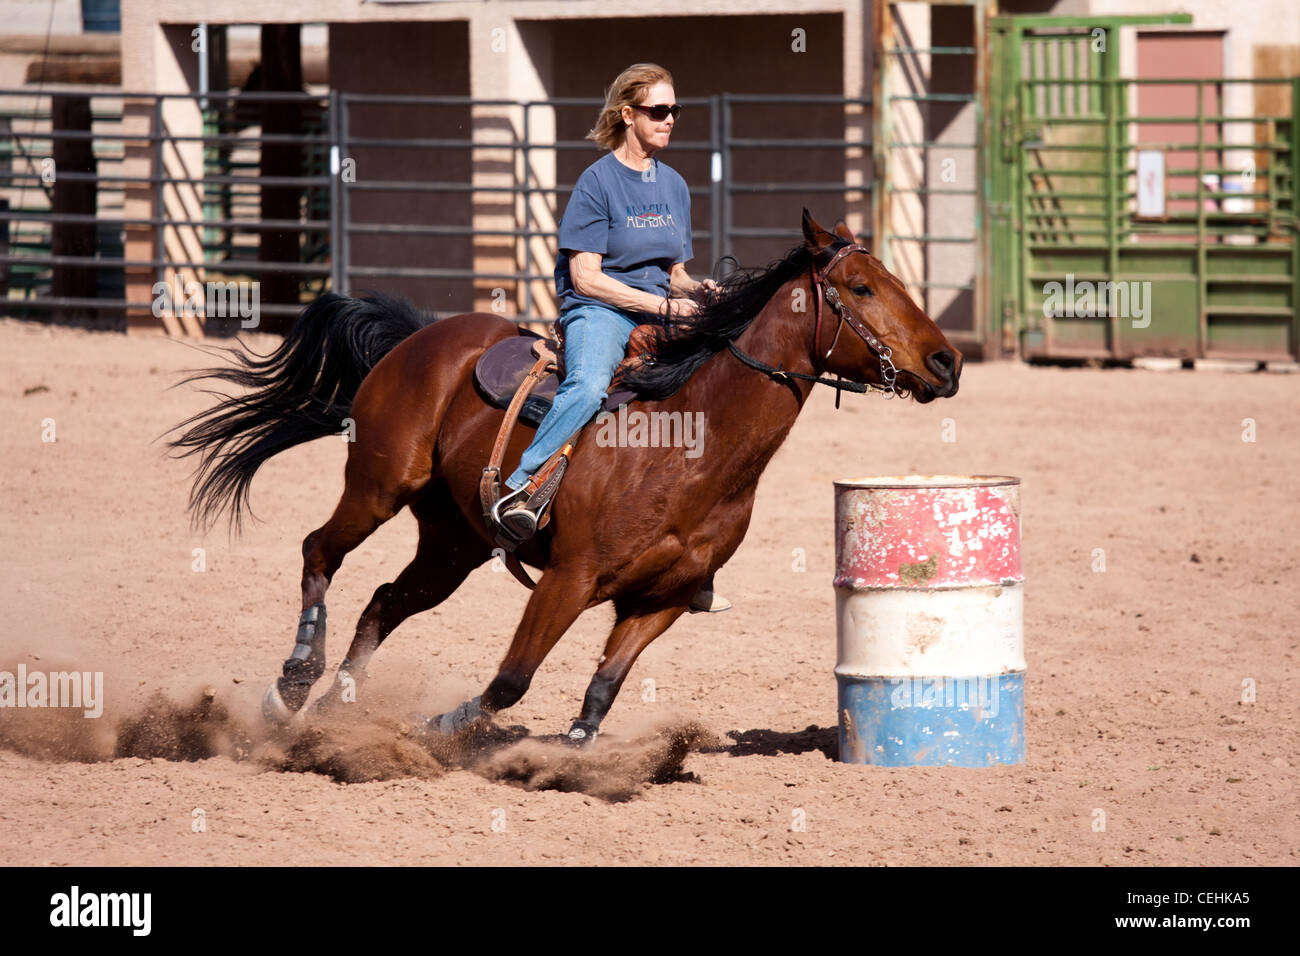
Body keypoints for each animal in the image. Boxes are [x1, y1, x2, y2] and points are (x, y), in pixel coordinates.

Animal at [169, 209, 962, 746]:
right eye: (860, 287)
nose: (947, 362)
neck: (692, 446)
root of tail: (422, 335)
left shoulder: (661, 600)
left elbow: (599, 696)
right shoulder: (568, 579)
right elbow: (510, 682)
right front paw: (437, 730)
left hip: (452, 542)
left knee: (384, 602)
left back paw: (335, 710)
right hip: (378, 487)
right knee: (319, 552)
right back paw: (291, 686)